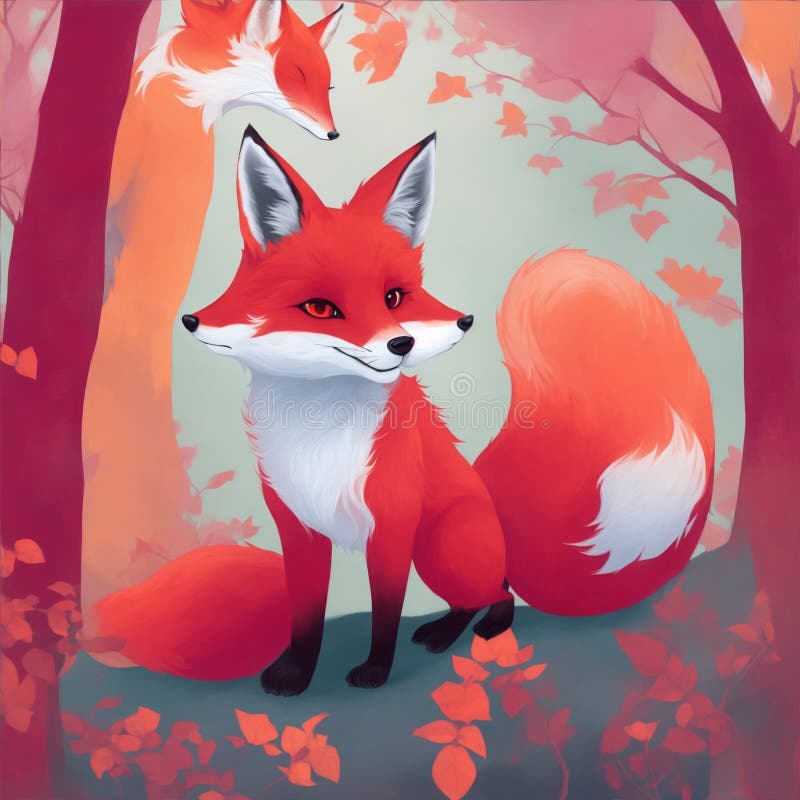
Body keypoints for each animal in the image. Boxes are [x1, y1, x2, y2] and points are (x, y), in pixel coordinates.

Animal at [96, 127, 714, 693]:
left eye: (394, 297)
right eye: (321, 309)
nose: (401, 344)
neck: (321, 433)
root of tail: (499, 526)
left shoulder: (391, 525)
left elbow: (386, 613)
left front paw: (375, 670)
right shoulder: (298, 529)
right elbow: (305, 617)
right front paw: (296, 674)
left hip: (439, 548)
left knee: (497, 596)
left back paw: (461, 630)